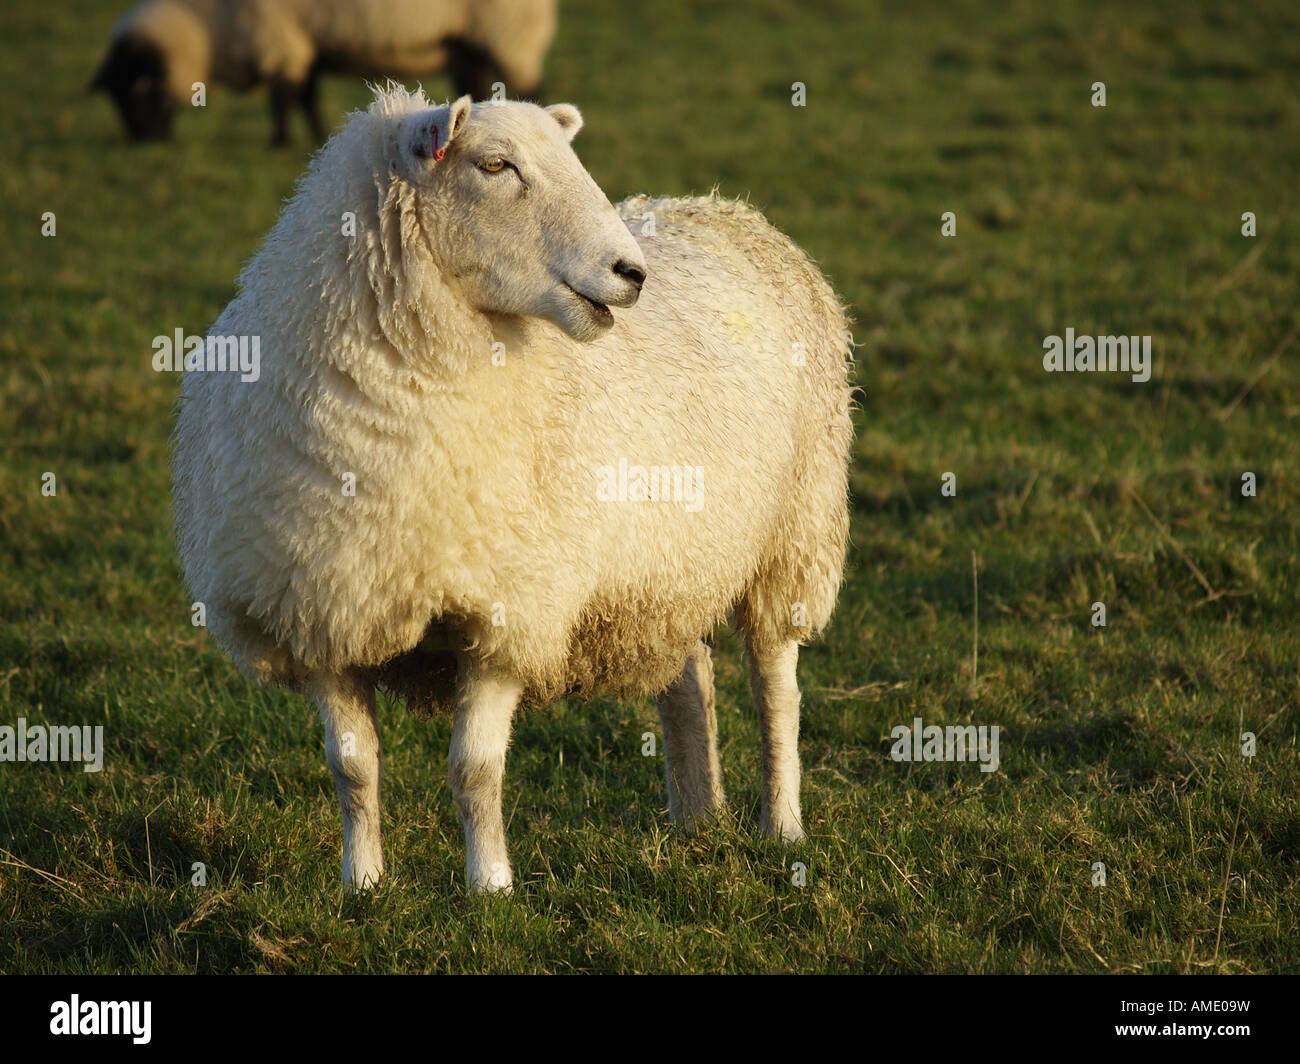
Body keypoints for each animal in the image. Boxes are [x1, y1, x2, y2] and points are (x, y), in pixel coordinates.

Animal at [91, 0, 556, 144]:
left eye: (137, 91)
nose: (144, 142)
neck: (209, 27)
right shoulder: (303, 44)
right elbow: (305, 96)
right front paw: (314, 137)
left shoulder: (281, 38)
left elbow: (284, 96)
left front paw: (278, 143)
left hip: (508, 31)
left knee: (531, 87)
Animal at [171, 84, 855, 893]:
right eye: (495, 165)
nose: (632, 272)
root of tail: (719, 206)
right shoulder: (322, 614)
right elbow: (352, 769)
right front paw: (361, 885)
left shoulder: (506, 609)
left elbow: (475, 768)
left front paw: (489, 887)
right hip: (663, 568)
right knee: (690, 679)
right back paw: (696, 817)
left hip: (795, 534)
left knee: (776, 688)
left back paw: (782, 826)